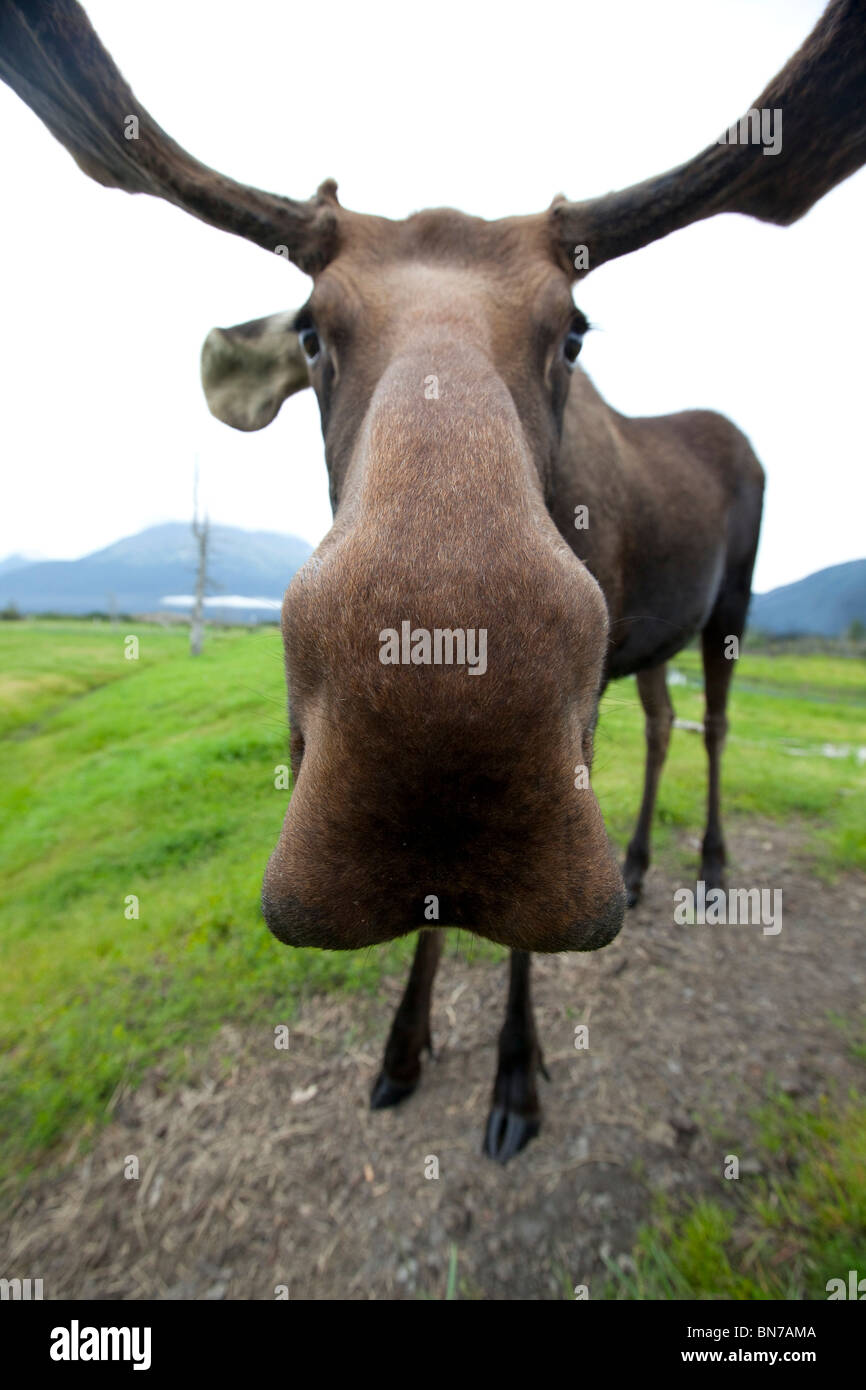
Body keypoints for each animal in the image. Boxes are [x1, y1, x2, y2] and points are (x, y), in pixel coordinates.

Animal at [2, 0, 864, 1162]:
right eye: (310, 330)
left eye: (573, 330)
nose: (442, 725)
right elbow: (429, 925)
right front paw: (403, 1050)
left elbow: (518, 950)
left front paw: (517, 1078)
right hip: (650, 632)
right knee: (661, 716)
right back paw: (639, 863)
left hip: (732, 606)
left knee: (715, 720)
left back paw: (714, 866)